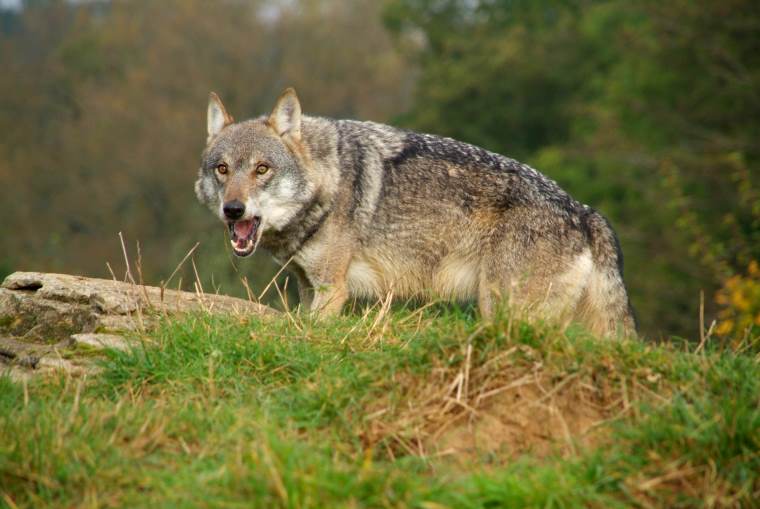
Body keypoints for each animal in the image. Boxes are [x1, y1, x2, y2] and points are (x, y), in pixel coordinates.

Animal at [195, 88, 637, 337]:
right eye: (223, 169)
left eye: (262, 169)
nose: (233, 209)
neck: (328, 179)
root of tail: (585, 212)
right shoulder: (308, 286)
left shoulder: (332, 291)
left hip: (502, 309)